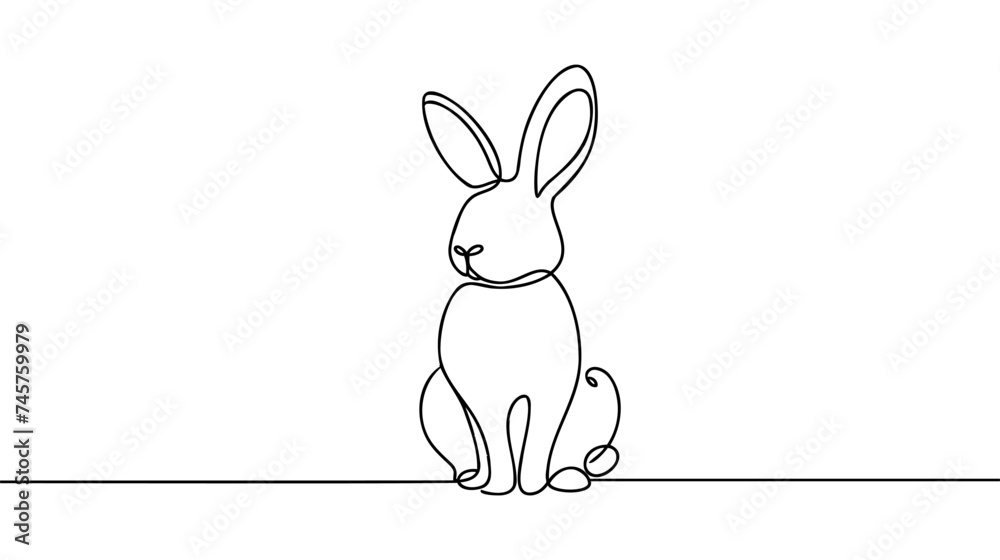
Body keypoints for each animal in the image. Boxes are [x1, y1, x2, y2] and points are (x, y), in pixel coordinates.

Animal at [418, 65, 620, 495]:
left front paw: (530, 487)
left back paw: (568, 479)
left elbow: (540, 441)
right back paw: (470, 478)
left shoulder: (552, 395)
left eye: (516, 219)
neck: (505, 291)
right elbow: (492, 442)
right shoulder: (479, 400)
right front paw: (496, 487)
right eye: (464, 213)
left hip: (599, 392)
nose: (465, 249)